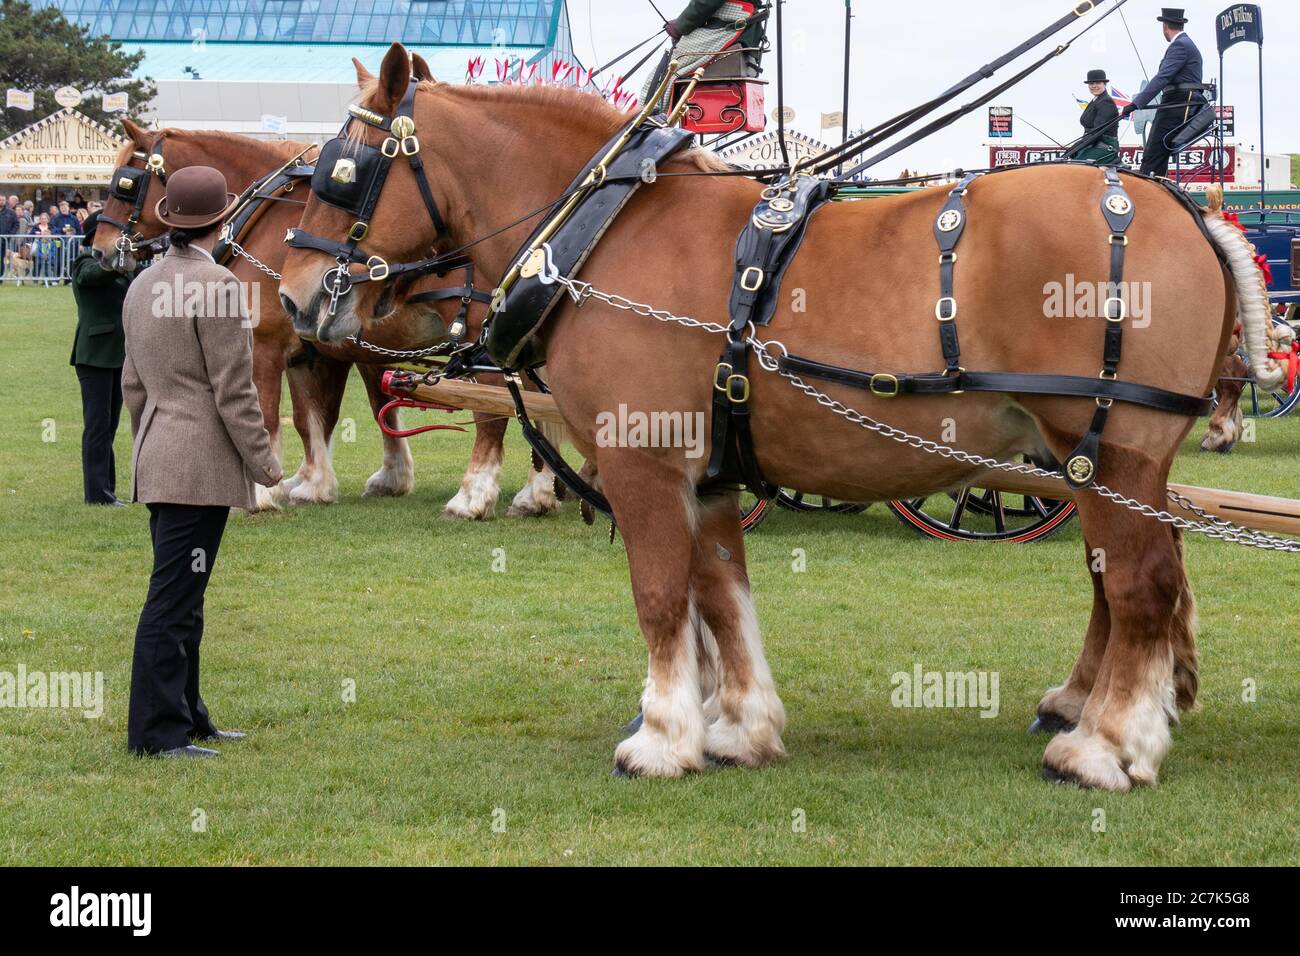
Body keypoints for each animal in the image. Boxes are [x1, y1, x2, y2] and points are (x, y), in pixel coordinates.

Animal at [94, 117, 562, 519]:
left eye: (124, 184)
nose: (99, 249)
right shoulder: (317, 350)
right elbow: (316, 417)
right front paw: (315, 483)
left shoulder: (262, 343)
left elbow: (265, 415)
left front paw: (260, 492)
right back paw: (538, 490)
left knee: (496, 409)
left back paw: (477, 495)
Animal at [279, 44, 1285, 791]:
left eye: (341, 170)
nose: (291, 295)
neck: (606, 235)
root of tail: (1184, 208)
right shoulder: (710, 472)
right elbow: (721, 597)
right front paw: (740, 727)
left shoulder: (641, 461)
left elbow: (659, 596)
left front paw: (661, 738)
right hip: (1100, 462)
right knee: (1126, 578)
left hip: (1109, 452)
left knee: (1142, 585)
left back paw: (1106, 746)